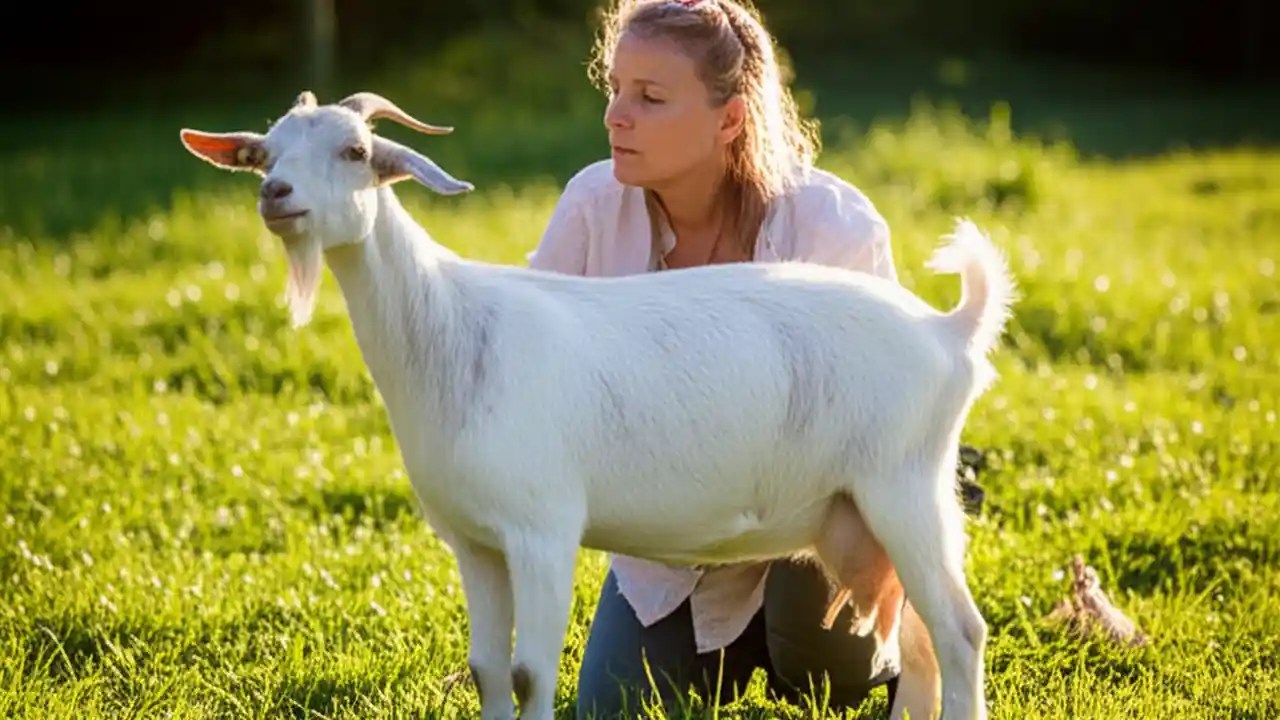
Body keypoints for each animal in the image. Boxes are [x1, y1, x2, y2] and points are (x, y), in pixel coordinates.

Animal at [178, 90, 1015, 720]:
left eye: (355, 152)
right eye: (267, 153)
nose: (276, 196)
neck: (451, 334)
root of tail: (948, 331)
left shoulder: (542, 530)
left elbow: (530, 675)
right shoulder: (473, 541)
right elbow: (487, 670)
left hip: (905, 489)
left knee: (960, 632)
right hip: (861, 521)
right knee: (919, 645)